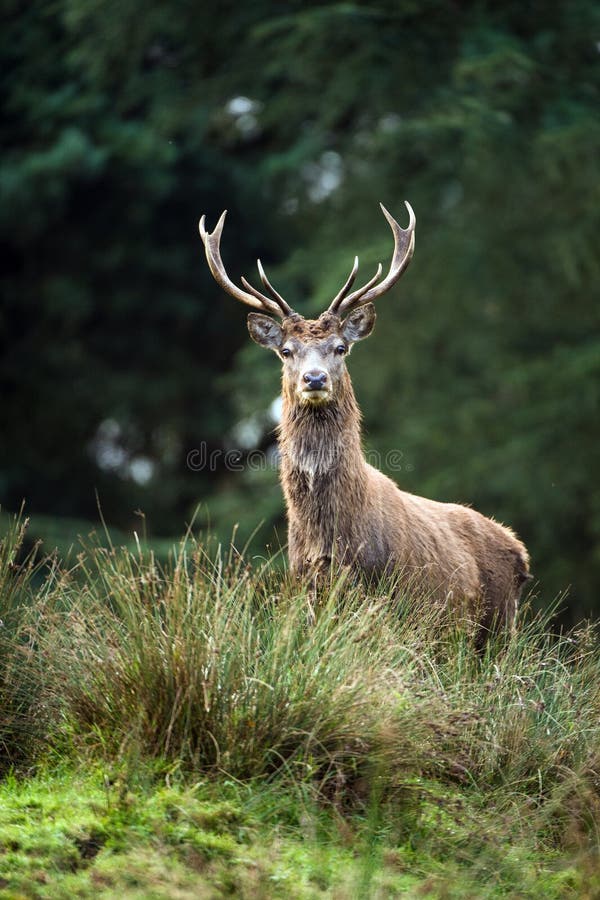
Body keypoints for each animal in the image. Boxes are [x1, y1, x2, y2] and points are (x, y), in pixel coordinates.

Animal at [199, 203, 531, 636]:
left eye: (340, 347)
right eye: (286, 351)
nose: (315, 378)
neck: (329, 537)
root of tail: (520, 552)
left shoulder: (388, 594)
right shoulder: (307, 588)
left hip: (499, 622)